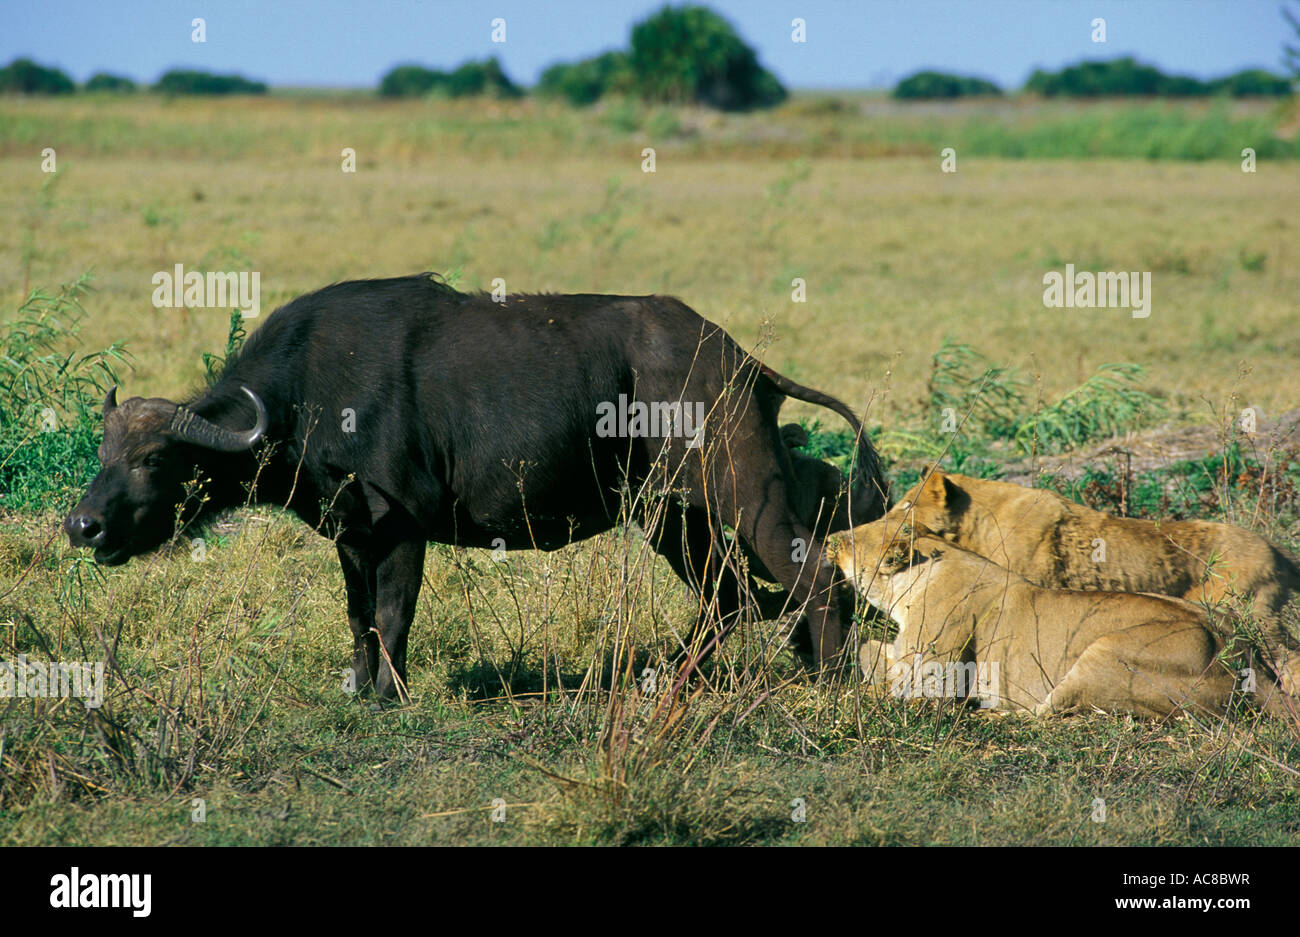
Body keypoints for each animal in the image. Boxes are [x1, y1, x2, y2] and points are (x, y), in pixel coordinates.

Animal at [66, 274, 885, 699]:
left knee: (813, 576)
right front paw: (361, 688)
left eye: (155, 460)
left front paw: (390, 696)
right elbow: (358, 619)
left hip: (745, 496)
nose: (83, 525)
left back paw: (830, 681)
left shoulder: (401, 532)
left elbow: (392, 616)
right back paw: (665, 680)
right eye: (105, 451)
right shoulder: (351, 538)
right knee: (732, 597)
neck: (304, 399)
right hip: (670, 517)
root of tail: (741, 360)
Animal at [826, 516, 1290, 718]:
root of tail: (1239, 652)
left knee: (1043, 715)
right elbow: (867, 646)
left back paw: (988, 711)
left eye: (850, 538)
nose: (829, 538)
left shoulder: (931, 677)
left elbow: (870, 671)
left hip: (1102, 654)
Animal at [884, 468, 1300, 692]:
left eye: (905, 509)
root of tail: (1276, 549)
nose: (875, 527)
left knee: (1289, 660)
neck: (978, 525)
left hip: (1254, 620)